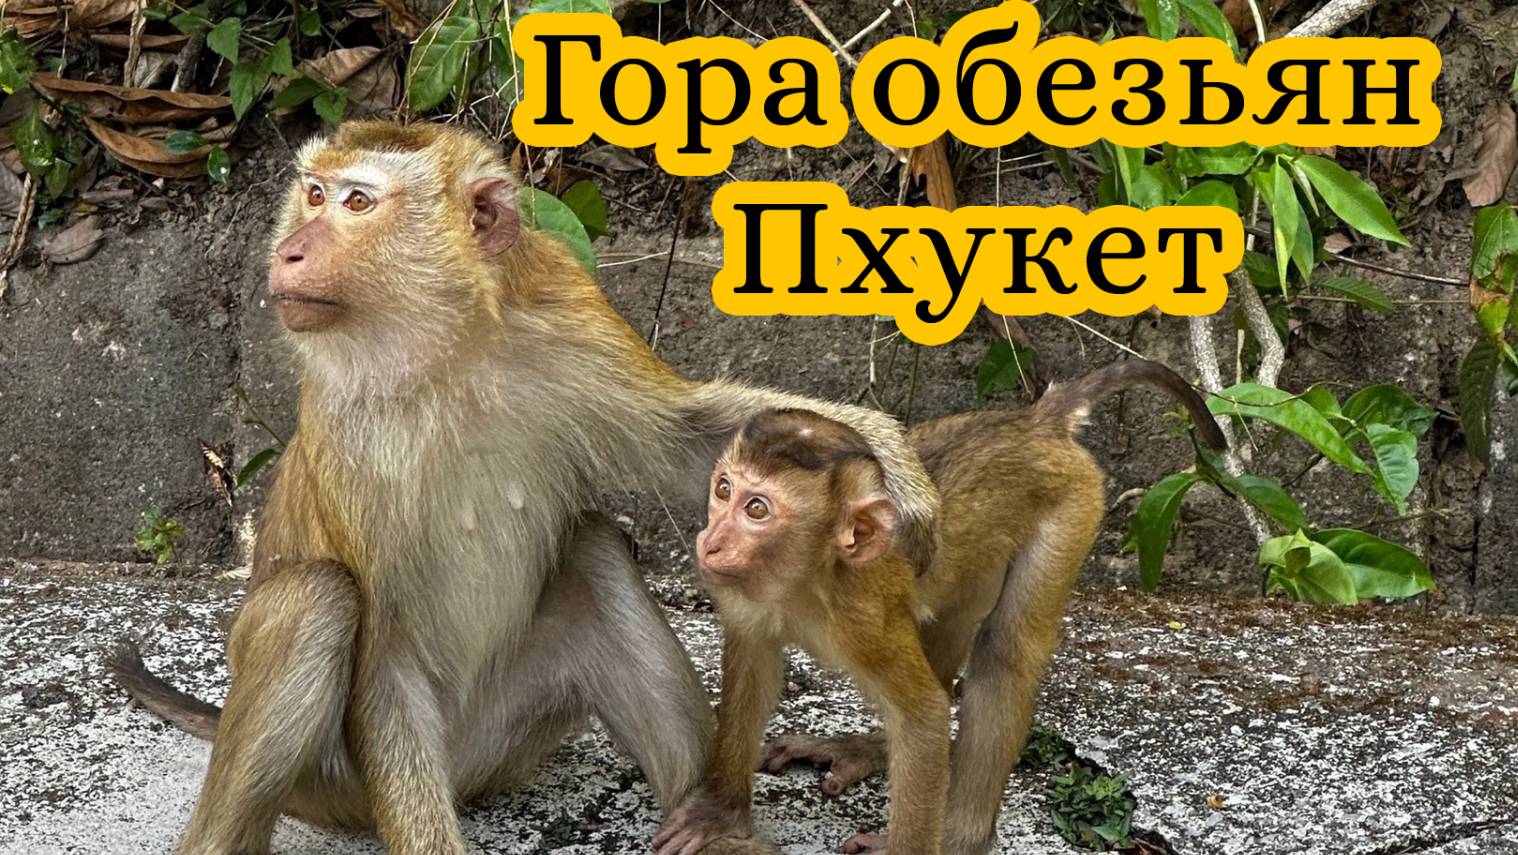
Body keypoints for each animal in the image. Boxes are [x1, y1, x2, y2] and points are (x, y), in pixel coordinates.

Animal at [104, 121, 941, 855]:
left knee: (593, 552)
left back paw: (709, 822)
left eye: (357, 203)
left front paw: (890, 460)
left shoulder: (564, 310)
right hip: (341, 781)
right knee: (318, 597)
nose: (289, 250)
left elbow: (686, 433)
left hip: (500, 739)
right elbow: (383, 642)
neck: (443, 346)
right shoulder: (347, 422)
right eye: (312, 194)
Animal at [655, 360, 1227, 855]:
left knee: (1006, 649)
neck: (805, 579)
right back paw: (870, 749)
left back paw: (959, 838)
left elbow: (926, 717)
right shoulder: (743, 596)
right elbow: (752, 667)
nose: (710, 542)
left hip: (1073, 505)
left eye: (757, 509)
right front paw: (721, 812)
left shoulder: (864, 617)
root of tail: (1034, 421)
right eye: (723, 489)